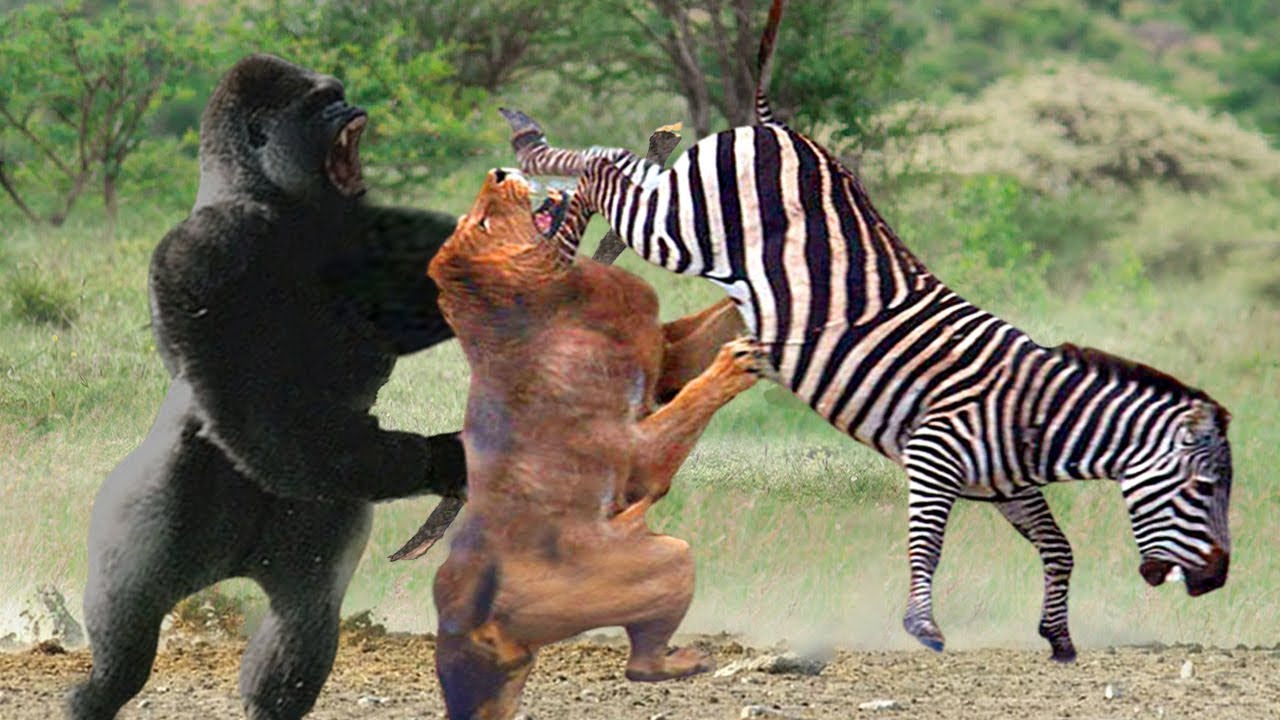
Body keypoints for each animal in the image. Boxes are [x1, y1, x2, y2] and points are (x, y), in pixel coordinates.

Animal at [67, 54, 467, 720]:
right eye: (321, 104)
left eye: (337, 95)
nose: (349, 107)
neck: (270, 198)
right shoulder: (204, 251)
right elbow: (250, 406)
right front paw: (439, 458)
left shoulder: (365, 221)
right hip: (150, 514)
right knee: (126, 636)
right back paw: (92, 693)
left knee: (302, 621)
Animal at [417, 168, 763, 719]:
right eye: (485, 221)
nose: (498, 172)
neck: (555, 301)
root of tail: (472, 621)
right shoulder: (640, 454)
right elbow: (693, 398)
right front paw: (736, 361)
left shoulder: (667, 356)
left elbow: (720, 316)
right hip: (672, 559)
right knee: (640, 667)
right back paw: (691, 660)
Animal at [501, 0, 1233, 662]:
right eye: (1204, 491)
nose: (1217, 581)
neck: (1035, 412)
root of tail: (781, 130)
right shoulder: (935, 453)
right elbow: (927, 542)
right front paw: (924, 628)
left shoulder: (1009, 486)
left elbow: (1060, 548)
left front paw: (1058, 638)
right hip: (681, 223)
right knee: (604, 170)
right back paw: (540, 194)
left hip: (681, 200)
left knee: (620, 161)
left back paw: (547, 200)